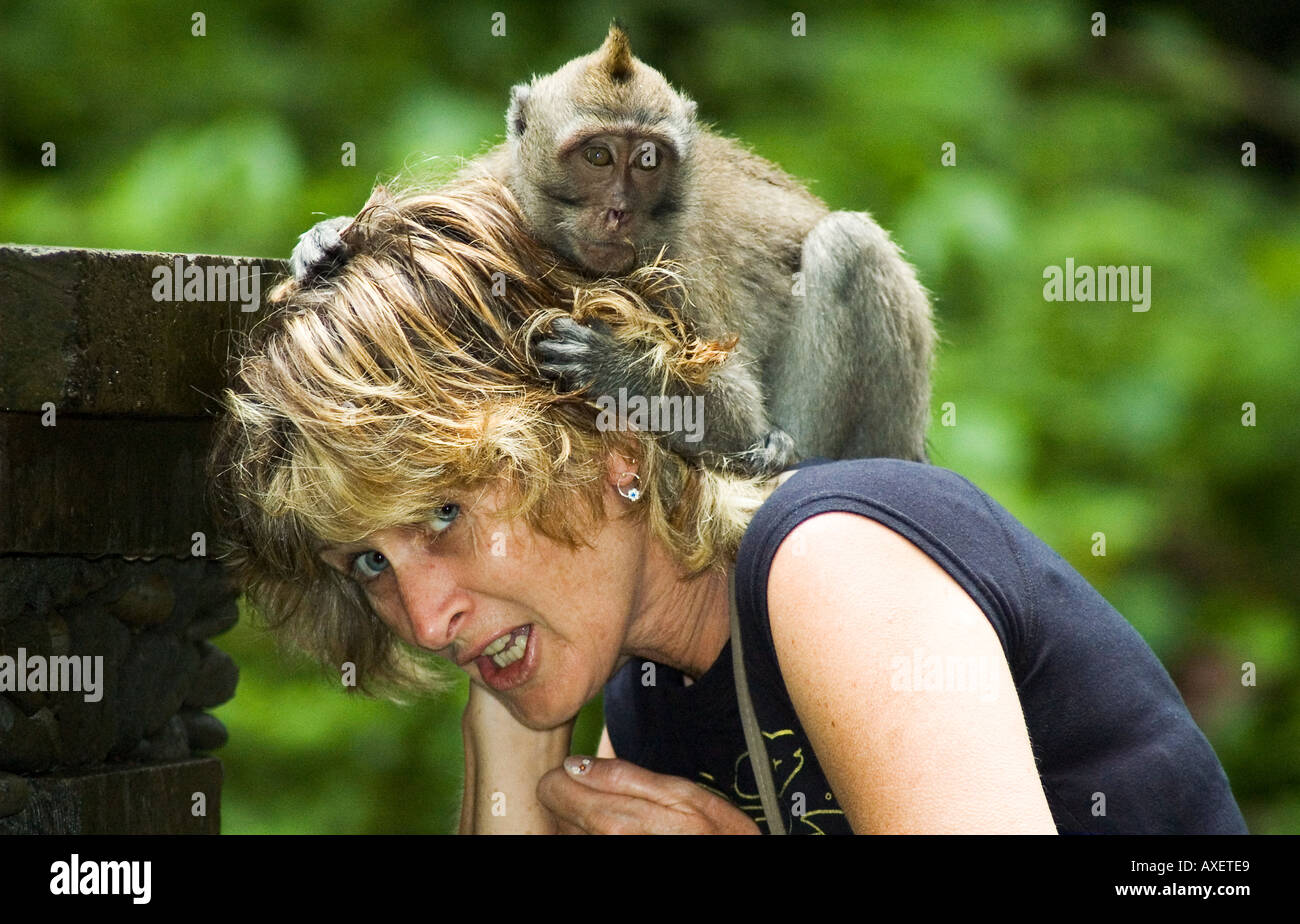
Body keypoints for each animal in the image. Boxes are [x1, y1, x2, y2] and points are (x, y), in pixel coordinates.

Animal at [292, 25, 935, 474]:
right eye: (598, 156)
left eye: (648, 160)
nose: (619, 210)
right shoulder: (495, 184)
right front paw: (326, 242)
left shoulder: (684, 266)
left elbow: (736, 418)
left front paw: (624, 371)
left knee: (849, 246)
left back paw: (784, 451)